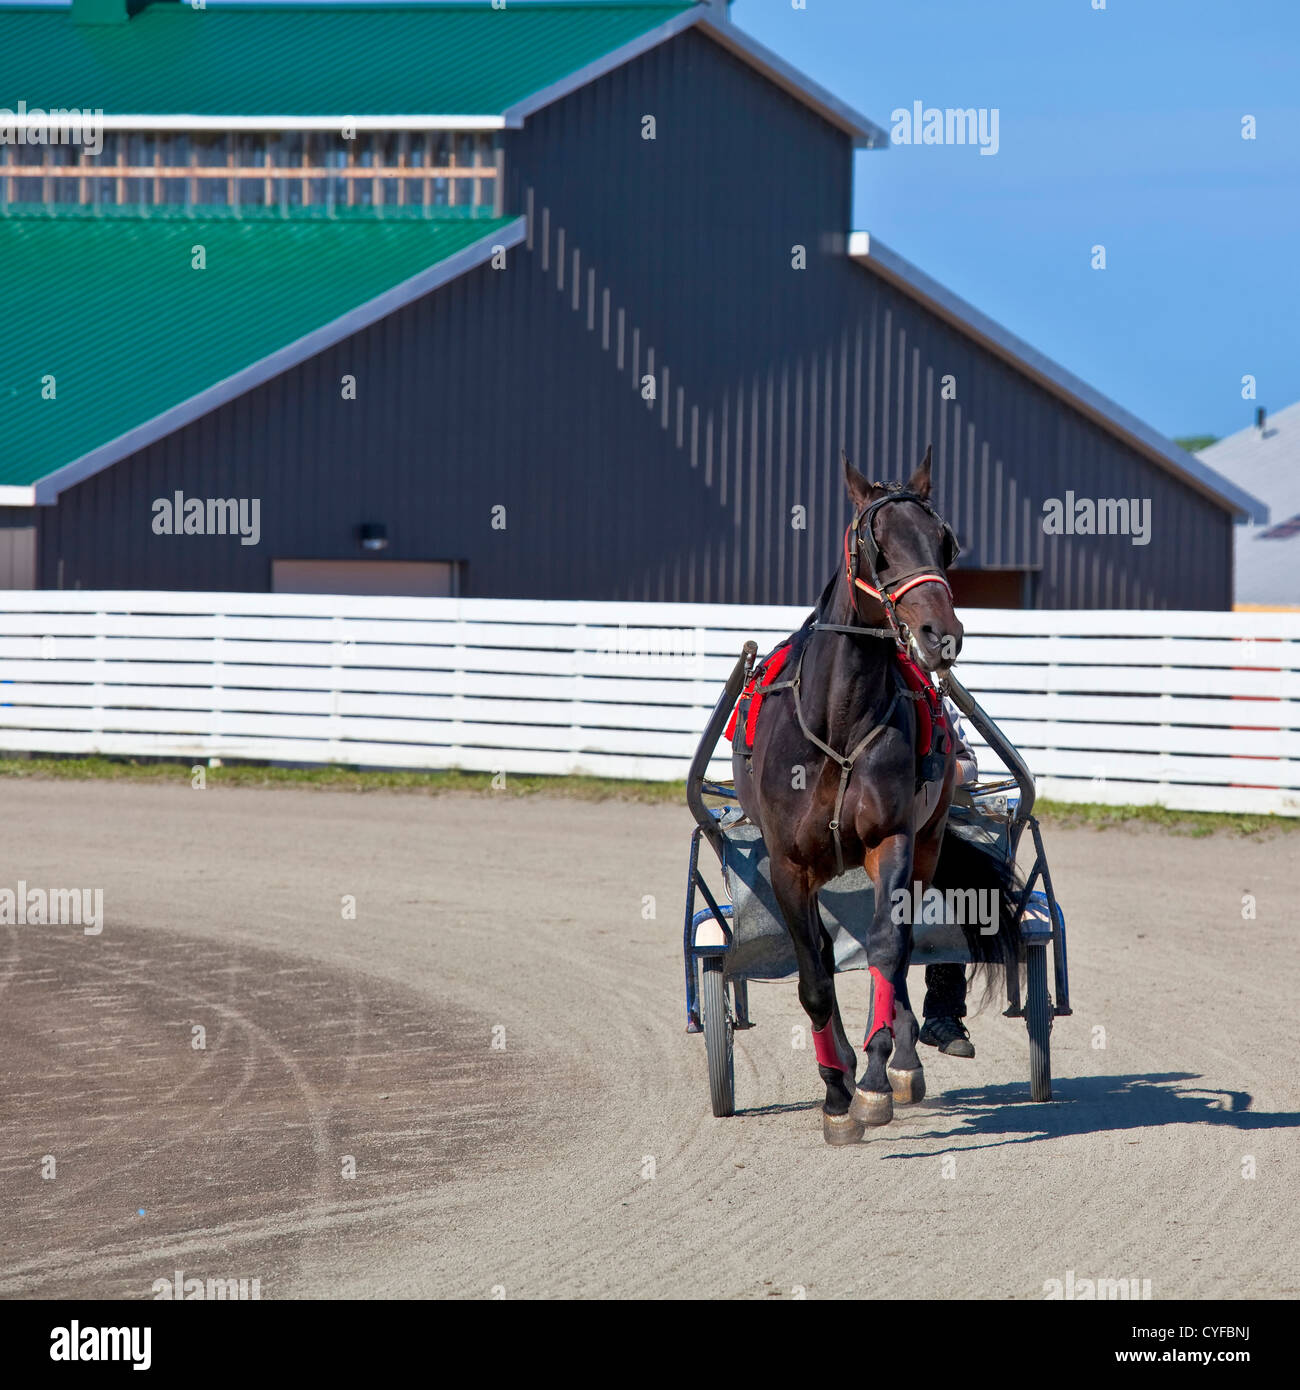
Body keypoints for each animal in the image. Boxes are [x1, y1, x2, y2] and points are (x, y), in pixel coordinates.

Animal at [732, 446, 1019, 1144]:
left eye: (945, 543)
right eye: (877, 543)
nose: (940, 633)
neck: (838, 723)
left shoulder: (892, 840)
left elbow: (889, 949)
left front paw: (872, 1082)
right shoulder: (788, 865)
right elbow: (813, 978)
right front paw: (836, 1095)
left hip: (927, 843)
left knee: (900, 944)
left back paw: (898, 1058)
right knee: (823, 962)